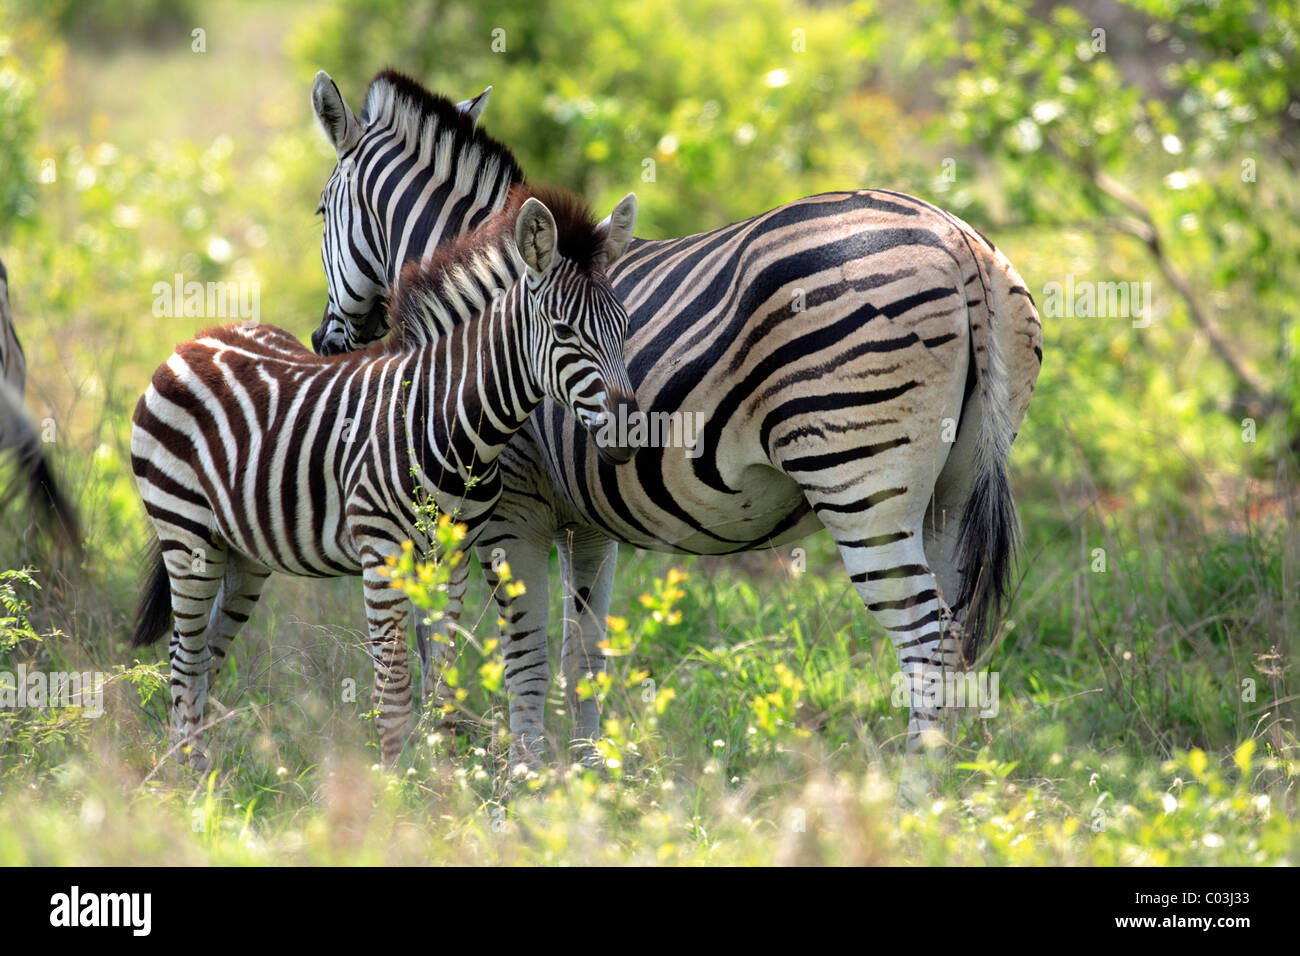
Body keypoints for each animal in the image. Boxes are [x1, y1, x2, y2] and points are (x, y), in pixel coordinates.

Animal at [129, 184, 641, 767]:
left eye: (625, 327)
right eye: (564, 332)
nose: (629, 433)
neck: (450, 422)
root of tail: (197, 339)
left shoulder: (453, 558)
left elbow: (441, 679)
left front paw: (443, 776)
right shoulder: (381, 556)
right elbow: (393, 690)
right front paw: (395, 782)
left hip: (241, 551)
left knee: (203, 656)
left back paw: (197, 770)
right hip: (185, 534)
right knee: (184, 659)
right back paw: (190, 777)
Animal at [308, 70, 1043, 770]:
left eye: (319, 211)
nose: (324, 341)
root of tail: (958, 244)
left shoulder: (510, 512)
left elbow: (520, 657)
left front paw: (518, 781)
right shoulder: (586, 519)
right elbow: (584, 655)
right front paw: (584, 779)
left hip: (861, 484)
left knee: (926, 642)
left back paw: (915, 794)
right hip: (953, 491)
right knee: (957, 634)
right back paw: (957, 792)